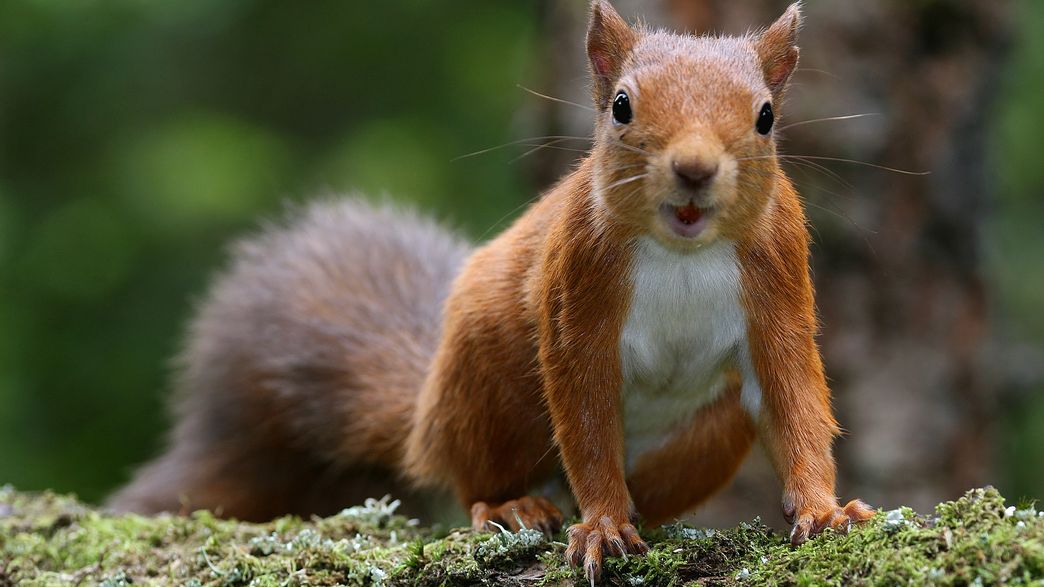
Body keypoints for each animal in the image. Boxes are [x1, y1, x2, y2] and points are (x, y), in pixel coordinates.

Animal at [109, 1, 874, 581]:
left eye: (766, 116)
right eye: (622, 105)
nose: (693, 169)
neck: (684, 251)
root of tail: (427, 419)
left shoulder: (779, 280)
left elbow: (795, 398)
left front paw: (823, 507)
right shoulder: (576, 287)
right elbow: (586, 419)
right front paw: (601, 523)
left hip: (707, 433)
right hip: (487, 388)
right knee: (478, 480)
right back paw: (513, 508)